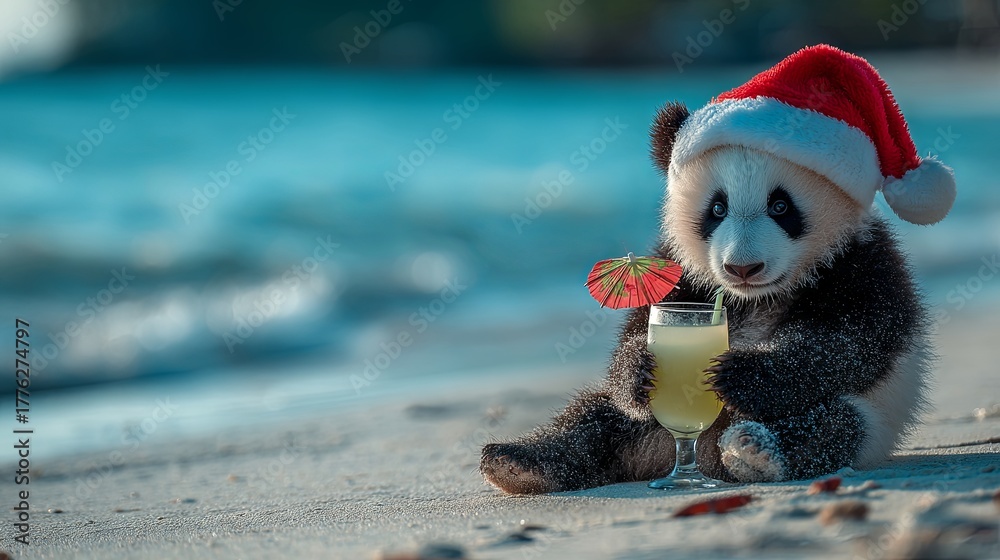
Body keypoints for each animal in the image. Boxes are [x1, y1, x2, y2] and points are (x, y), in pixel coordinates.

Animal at [480, 45, 956, 494]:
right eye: (716, 209)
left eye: (781, 206)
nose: (742, 268)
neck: (756, 298)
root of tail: (693, 454)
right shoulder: (678, 268)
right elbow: (636, 329)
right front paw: (639, 367)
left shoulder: (861, 260)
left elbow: (851, 339)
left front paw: (741, 373)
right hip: (640, 425)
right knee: (595, 416)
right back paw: (519, 463)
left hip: (872, 418)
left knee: (831, 424)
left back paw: (755, 451)